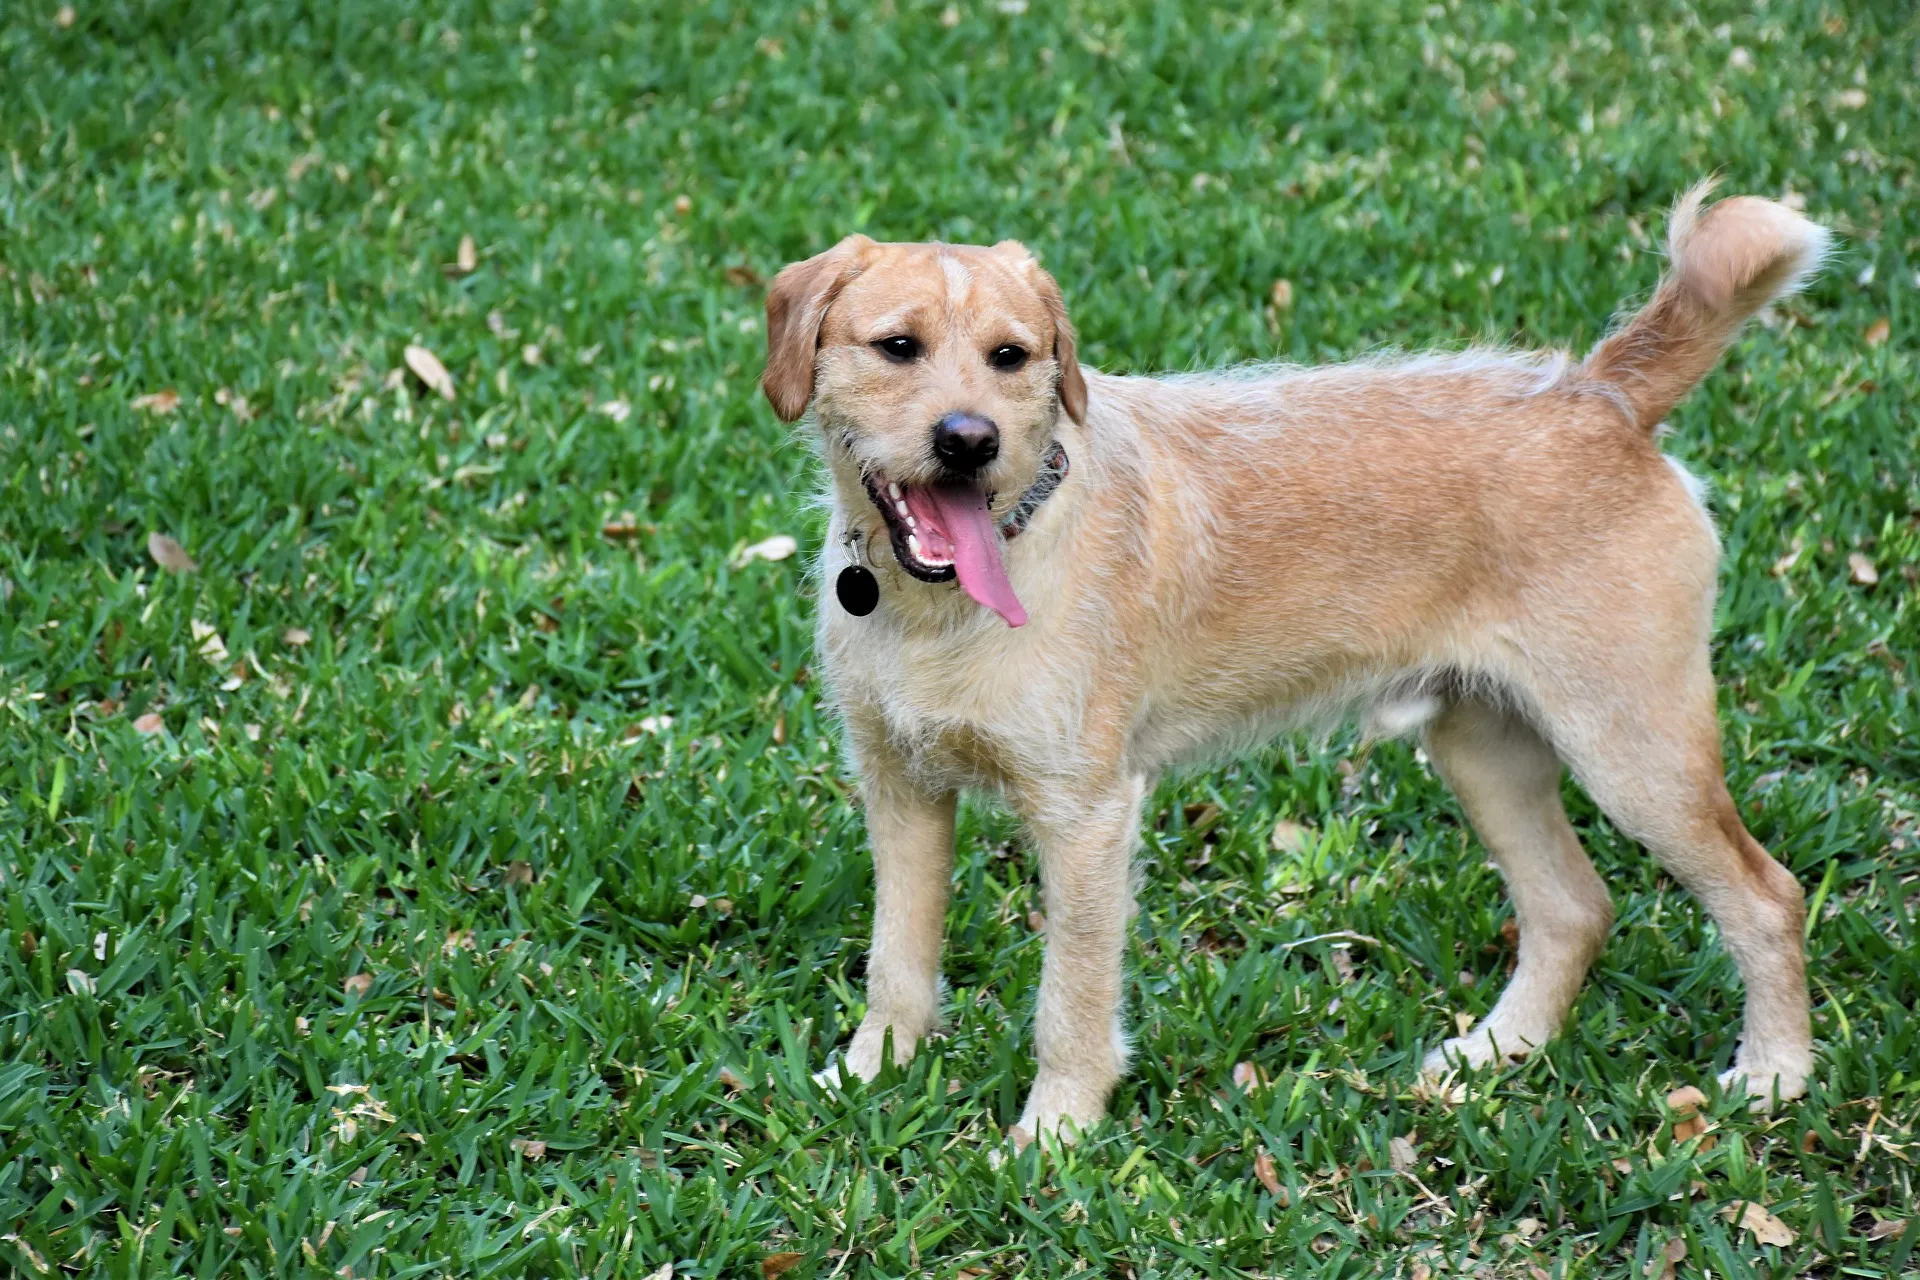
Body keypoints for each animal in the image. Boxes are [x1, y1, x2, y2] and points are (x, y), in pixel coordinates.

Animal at [764, 180, 1827, 1143]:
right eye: (898, 347)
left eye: (1010, 357)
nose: (969, 442)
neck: (940, 608)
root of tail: (1605, 394)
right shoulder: (899, 788)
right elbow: (896, 962)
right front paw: (870, 1074)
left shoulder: (1086, 817)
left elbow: (1070, 999)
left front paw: (1054, 1135)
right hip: (1485, 748)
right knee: (1575, 908)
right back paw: (1497, 1053)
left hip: (1636, 754)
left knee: (1767, 898)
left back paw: (1775, 1075)